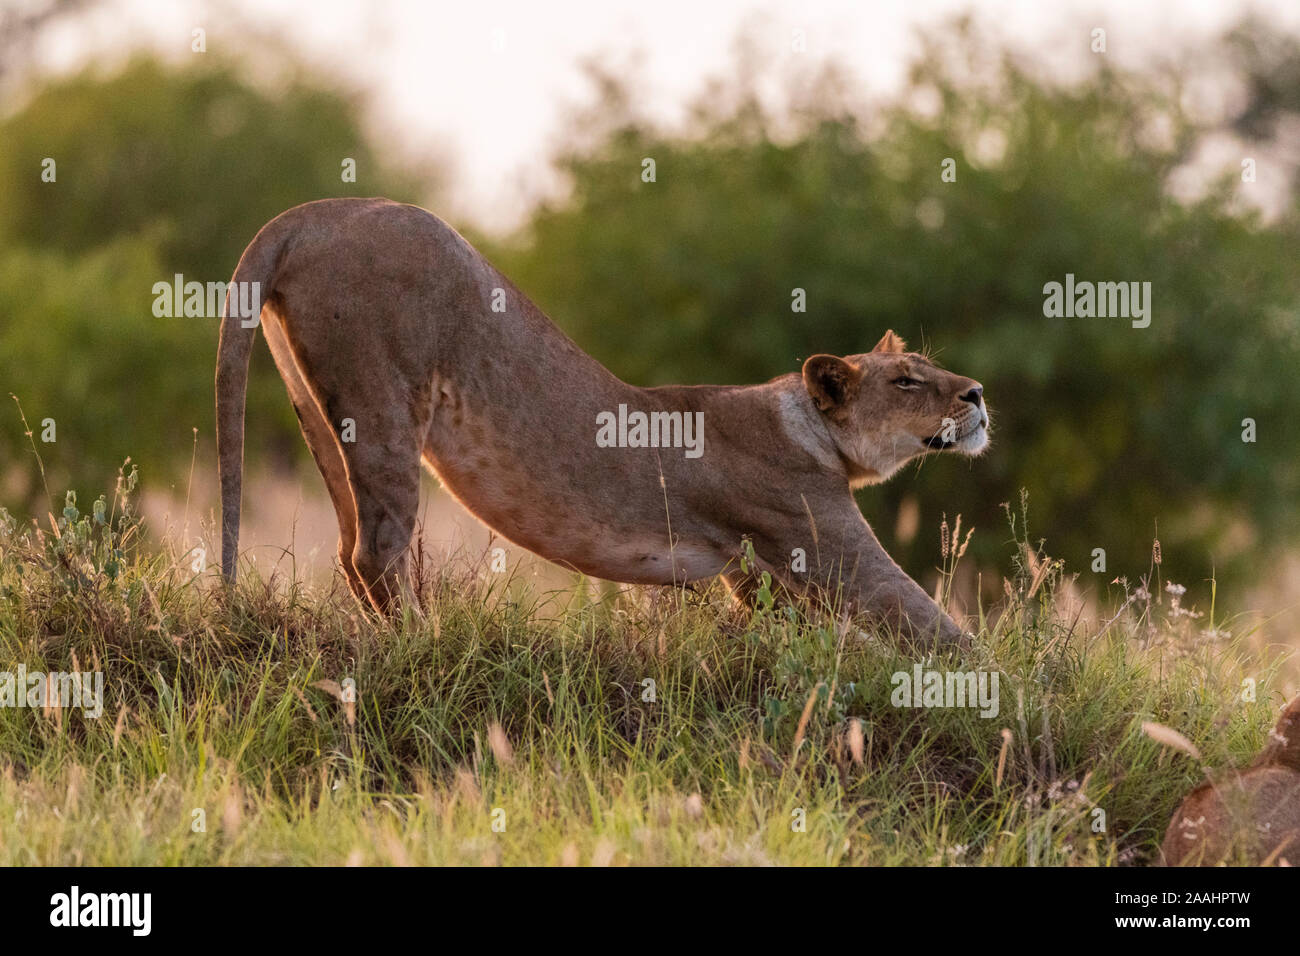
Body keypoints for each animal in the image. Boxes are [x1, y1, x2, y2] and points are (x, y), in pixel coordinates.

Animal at [216, 198, 990, 648]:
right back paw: (423, 643)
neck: (813, 429)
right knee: (376, 549)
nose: (979, 394)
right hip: (384, 402)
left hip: (320, 411)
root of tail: (312, 211)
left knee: (351, 547)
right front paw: (1001, 695)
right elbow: (936, 630)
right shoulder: (824, 542)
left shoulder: (755, 573)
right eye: (907, 380)